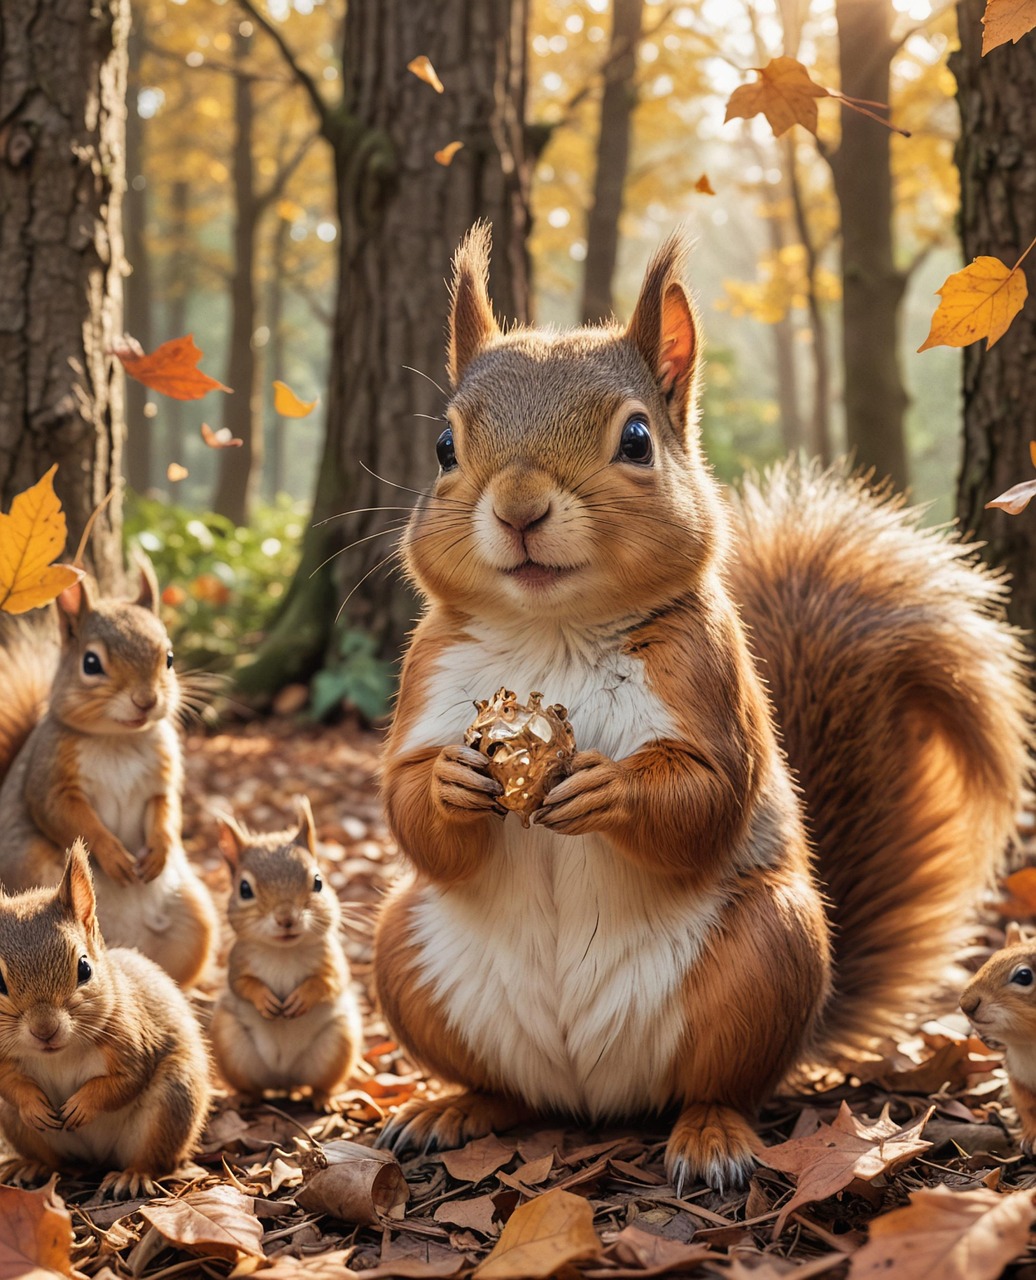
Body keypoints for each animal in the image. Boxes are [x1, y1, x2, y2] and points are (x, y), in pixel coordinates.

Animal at [0, 567, 217, 988]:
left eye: (169, 657)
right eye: (90, 663)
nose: (146, 701)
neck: (117, 739)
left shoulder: (162, 774)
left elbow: (168, 809)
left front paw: (158, 851)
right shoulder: (50, 778)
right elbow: (68, 817)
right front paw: (115, 857)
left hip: (195, 919)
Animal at [0, 840, 211, 1198]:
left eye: (84, 968)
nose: (45, 1030)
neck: (59, 1054)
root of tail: (96, 1157)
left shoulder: (132, 1039)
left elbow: (125, 1081)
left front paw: (82, 1105)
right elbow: (8, 1083)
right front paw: (34, 1104)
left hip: (172, 1101)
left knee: (151, 1157)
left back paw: (132, 1176)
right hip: (17, 1125)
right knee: (51, 1160)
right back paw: (31, 1166)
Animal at [209, 799, 361, 1108]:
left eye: (318, 882)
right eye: (244, 889)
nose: (286, 919)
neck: (283, 952)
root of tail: (283, 1079)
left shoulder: (333, 960)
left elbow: (329, 982)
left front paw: (302, 997)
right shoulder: (238, 961)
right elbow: (241, 984)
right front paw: (264, 998)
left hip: (337, 1043)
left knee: (320, 1084)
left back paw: (324, 1099)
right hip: (231, 1044)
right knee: (252, 1087)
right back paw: (242, 1098)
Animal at [961, 923, 1036, 1154]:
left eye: (1024, 976)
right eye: (991, 958)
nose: (965, 1004)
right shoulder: (1020, 1082)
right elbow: (1028, 1108)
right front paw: (1031, 1136)